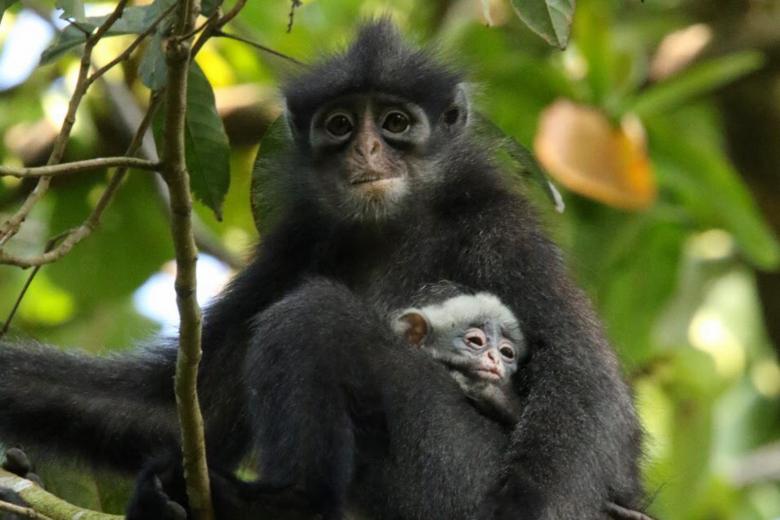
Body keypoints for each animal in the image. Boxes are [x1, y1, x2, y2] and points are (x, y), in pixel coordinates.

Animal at [0, 20, 644, 519]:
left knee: (313, 316)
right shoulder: (297, 242)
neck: (389, 227)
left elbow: (586, 387)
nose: (367, 150)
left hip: (453, 473)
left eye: (394, 123)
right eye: (340, 125)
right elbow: (186, 409)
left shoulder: (497, 223)